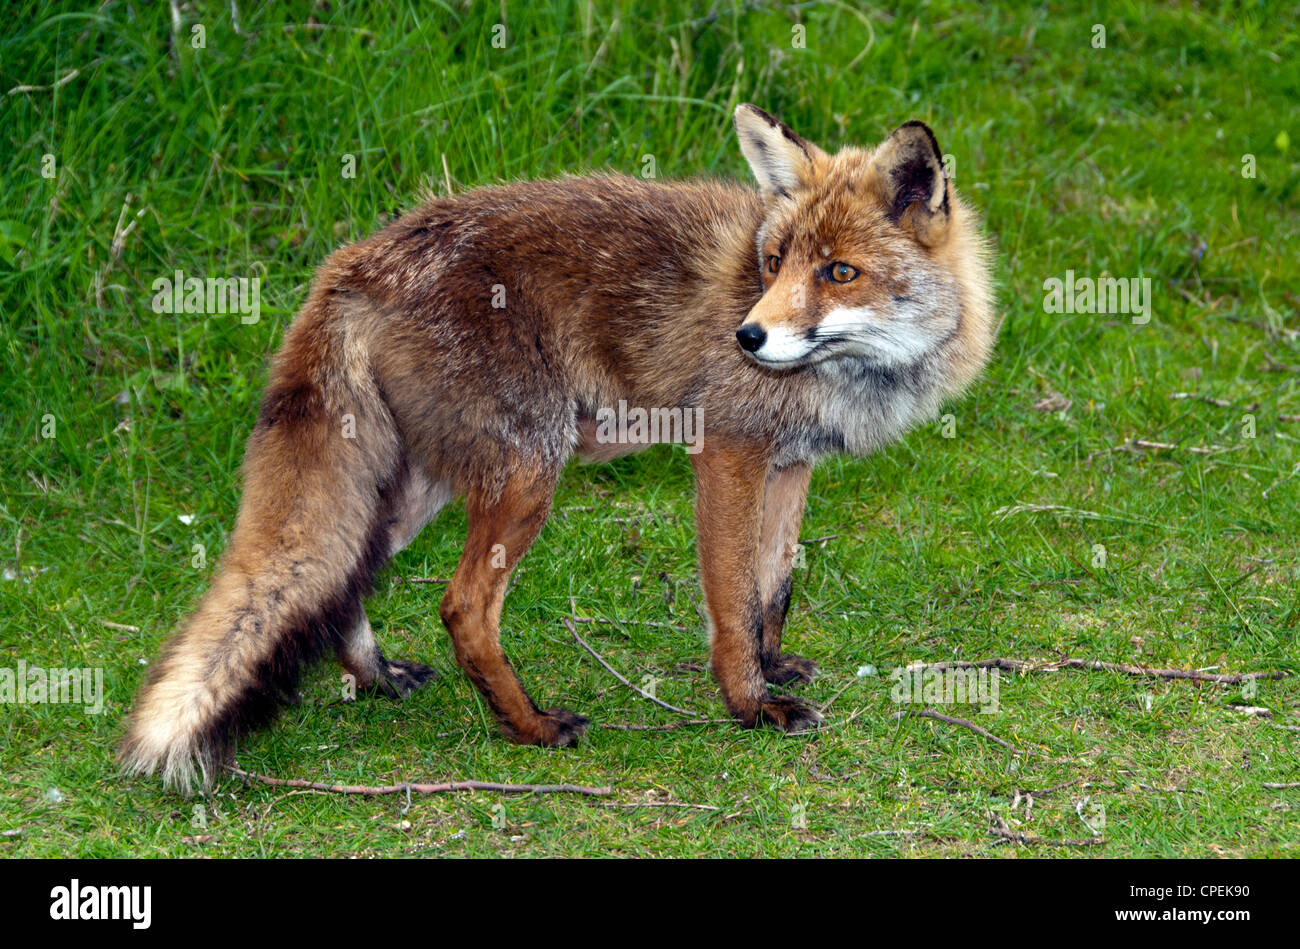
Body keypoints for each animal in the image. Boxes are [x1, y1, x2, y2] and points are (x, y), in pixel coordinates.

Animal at [119, 105, 996, 791]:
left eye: (839, 271)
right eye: (776, 263)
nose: (747, 336)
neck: (854, 375)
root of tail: (357, 258)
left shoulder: (790, 464)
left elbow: (772, 588)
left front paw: (774, 666)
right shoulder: (728, 454)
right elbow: (730, 601)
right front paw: (750, 703)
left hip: (420, 488)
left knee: (344, 577)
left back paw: (377, 676)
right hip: (528, 476)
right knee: (462, 608)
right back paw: (530, 726)